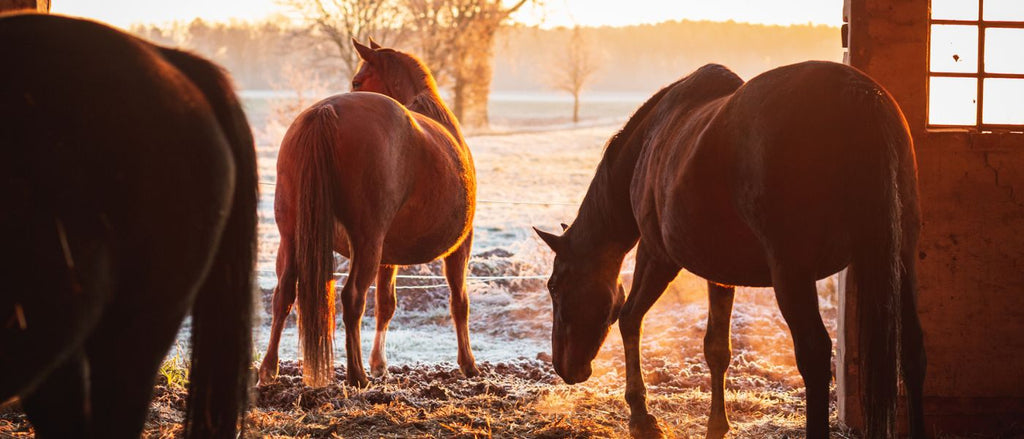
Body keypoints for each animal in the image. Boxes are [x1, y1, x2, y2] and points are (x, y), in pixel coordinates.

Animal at [258, 39, 478, 388]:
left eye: (357, 81)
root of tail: (325, 112)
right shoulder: (460, 245)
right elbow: (460, 302)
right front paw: (468, 364)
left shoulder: (388, 255)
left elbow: (386, 305)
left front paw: (380, 364)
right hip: (367, 242)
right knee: (352, 297)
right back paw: (356, 374)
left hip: (291, 236)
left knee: (284, 295)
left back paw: (269, 369)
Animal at [534, 61, 926, 439]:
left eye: (554, 286)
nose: (564, 367)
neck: (649, 141)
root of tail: (859, 97)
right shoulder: (719, 273)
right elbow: (717, 349)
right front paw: (716, 425)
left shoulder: (657, 256)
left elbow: (629, 318)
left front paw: (641, 418)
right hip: (899, 258)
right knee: (913, 351)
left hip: (791, 274)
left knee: (814, 356)